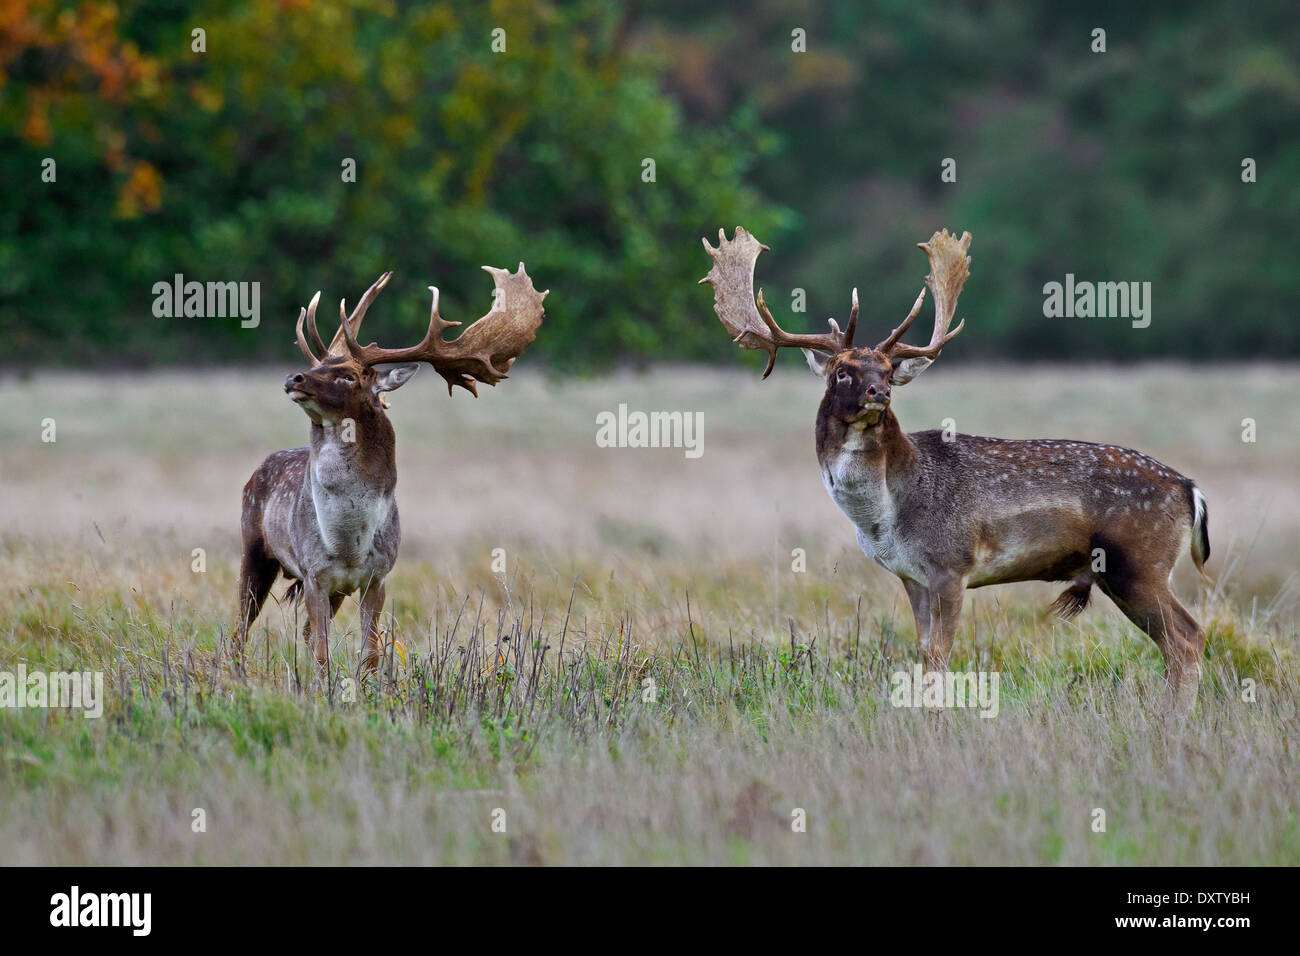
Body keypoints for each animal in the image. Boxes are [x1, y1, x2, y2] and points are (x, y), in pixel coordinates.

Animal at [234, 265, 547, 674]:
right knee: (239, 629)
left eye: (348, 375)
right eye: (319, 366)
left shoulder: (377, 576)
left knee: (292, 631)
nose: (294, 378)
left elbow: (370, 653)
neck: (347, 544)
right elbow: (322, 653)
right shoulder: (314, 573)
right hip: (253, 547)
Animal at [701, 227, 1210, 714]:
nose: (880, 393)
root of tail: (1190, 491)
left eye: (887, 370)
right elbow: (925, 652)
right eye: (842, 372)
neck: (886, 515)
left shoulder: (952, 564)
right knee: (1181, 640)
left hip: (1138, 562)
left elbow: (940, 655)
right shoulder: (912, 576)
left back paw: (1172, 721)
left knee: (1187, 638)